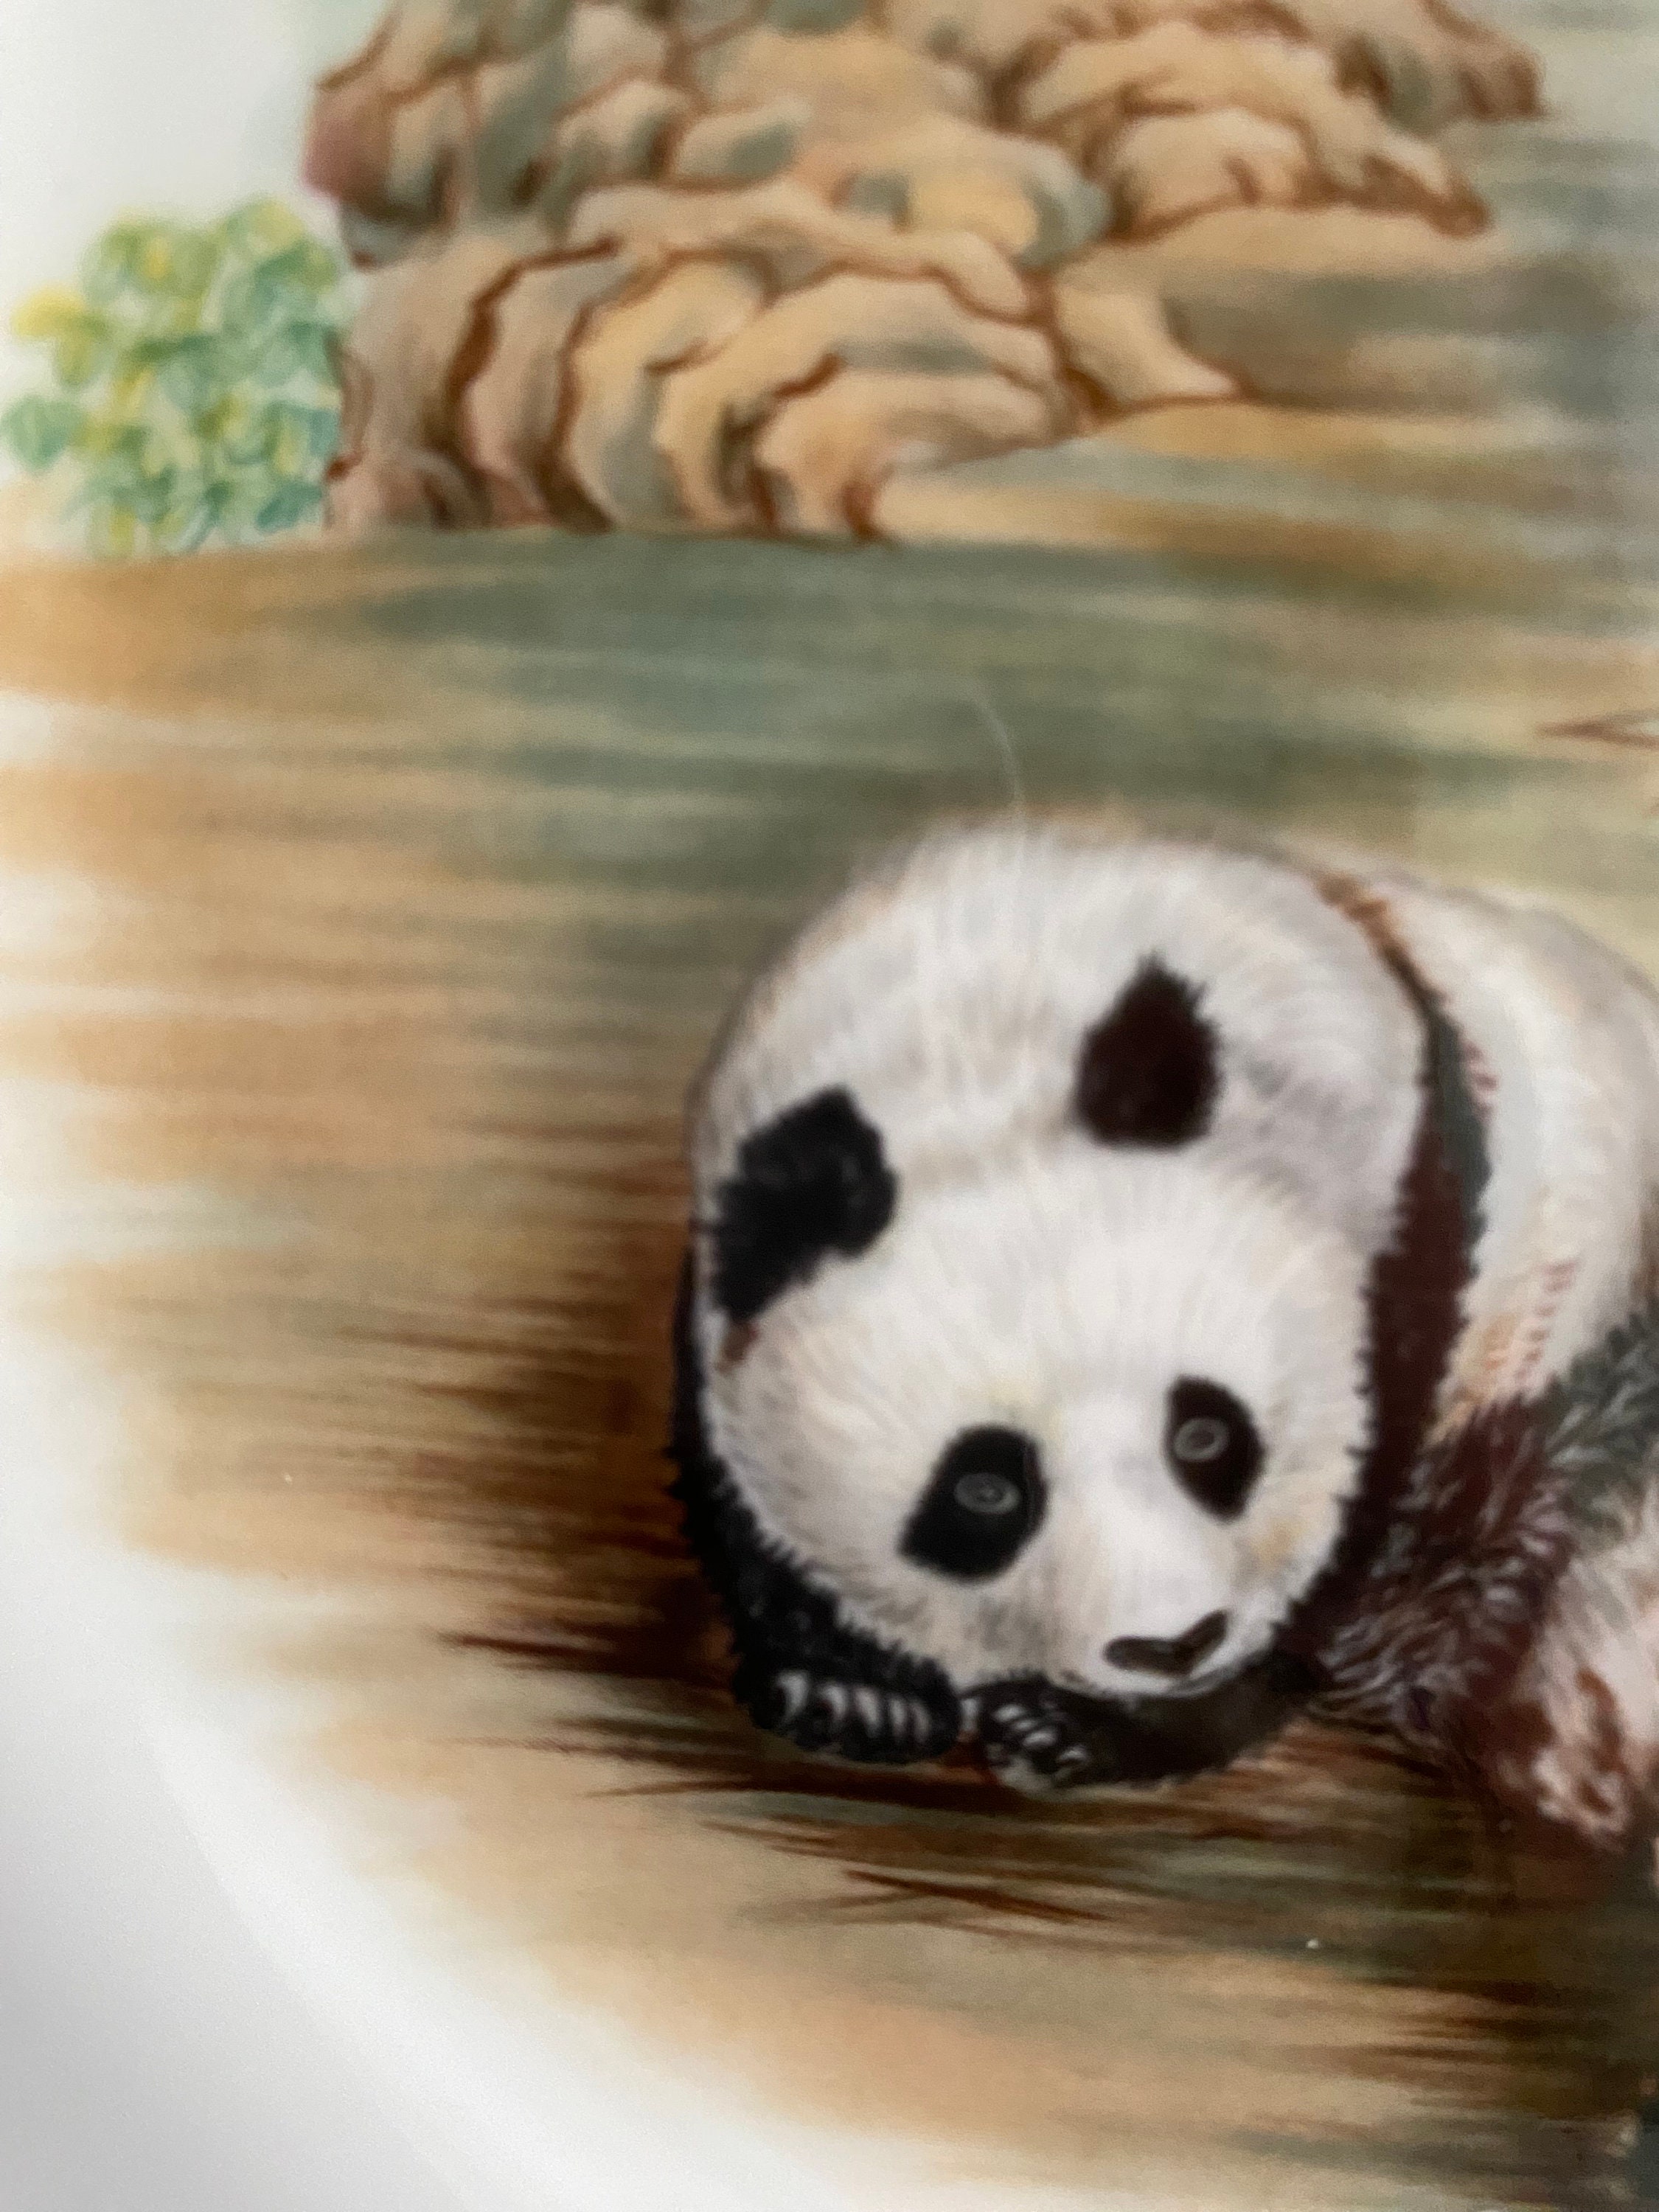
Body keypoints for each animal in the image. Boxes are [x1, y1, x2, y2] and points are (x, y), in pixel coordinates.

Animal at [668, 822, 1659, 1856]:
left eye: (1206, 1433)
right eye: (984, 1488)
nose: (1173, 1645)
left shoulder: (1417, 1221)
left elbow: (1350, 1534)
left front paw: (1087, 1731)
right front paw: (851, 1691)